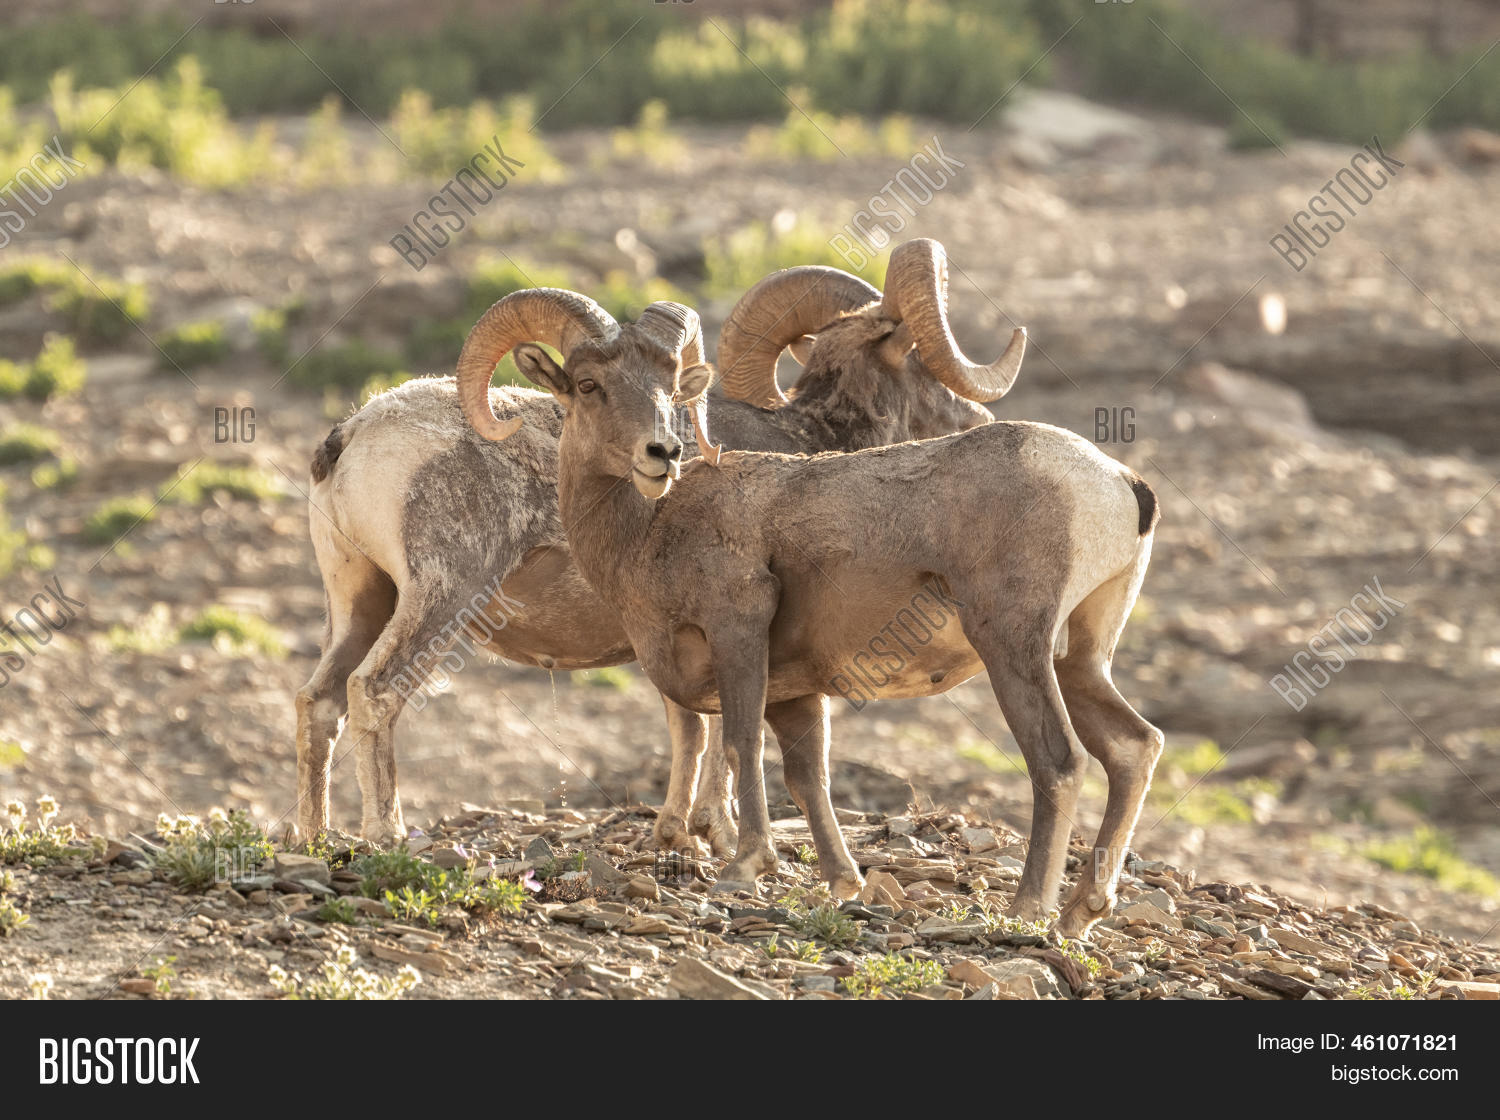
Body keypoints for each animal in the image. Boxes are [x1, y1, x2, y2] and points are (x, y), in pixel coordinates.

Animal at [295, 239, 1026, 853]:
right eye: (927, 358)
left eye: (672, 388)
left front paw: (682, 832)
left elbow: (691, 727)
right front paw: (722, 836)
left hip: (361, 599)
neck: (814, 441)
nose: (978, 417)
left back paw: (316, 837)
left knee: (319, 702)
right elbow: (729, 729)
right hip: (443, 598)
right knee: (374, 692)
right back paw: (387, 835)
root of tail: (355, 435)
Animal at [456, 245, 1162, 936]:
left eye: (668, 389)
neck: (648, 527)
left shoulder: (738, 633)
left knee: (1059, 761)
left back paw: (1028, 909)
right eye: (588, 386)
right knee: (1134, 747)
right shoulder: (796, 692)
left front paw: (744, 868)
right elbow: (806, 777)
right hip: (1079, 659)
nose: (662, 453)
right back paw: (1082, 910)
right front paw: (843, 883)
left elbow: (740, 743)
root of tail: (1117, 483)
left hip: (1014, 648)